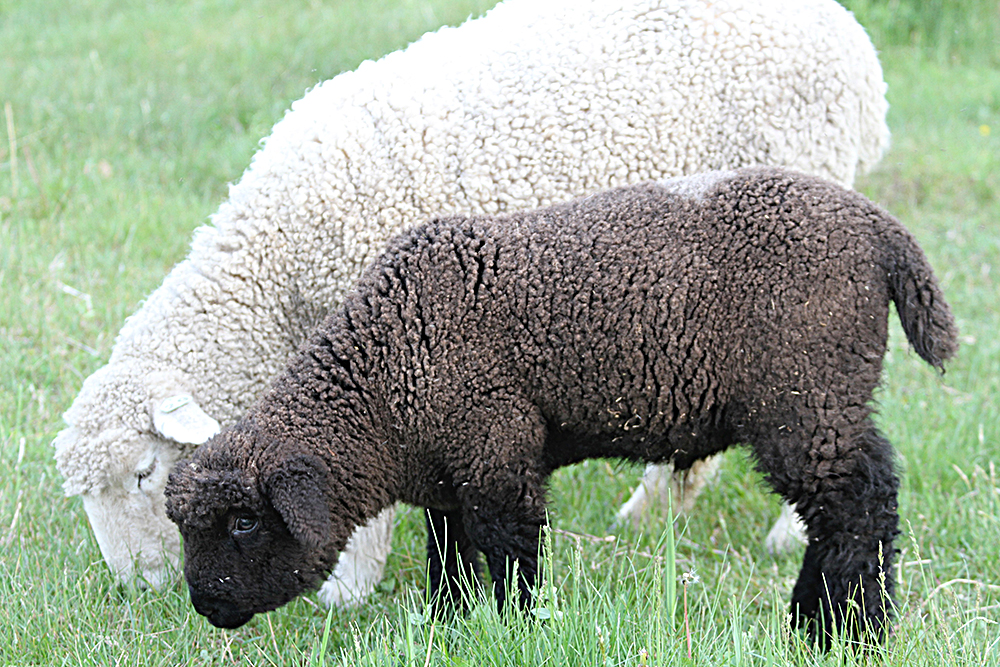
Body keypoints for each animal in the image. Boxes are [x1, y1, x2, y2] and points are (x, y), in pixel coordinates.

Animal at [53, 0, 890, 605]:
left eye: (143, 474)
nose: (140, 588)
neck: (279, 267)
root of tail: (850, 38)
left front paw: (346, 589)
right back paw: (652, 512)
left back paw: (781, 533)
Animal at [165, 167, 957, 647]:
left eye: (243, 522)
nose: (205, 604)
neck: (382, 385)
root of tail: (883, 233)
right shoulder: (450, 474)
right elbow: (450, 558)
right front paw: (452, 628)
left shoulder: (499, 451)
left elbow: (510, 553)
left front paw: (516, 629)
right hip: (825, 400)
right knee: (852, 500)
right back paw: (819, 620)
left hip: (807, 397)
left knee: (860, 501)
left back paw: (846, 628)